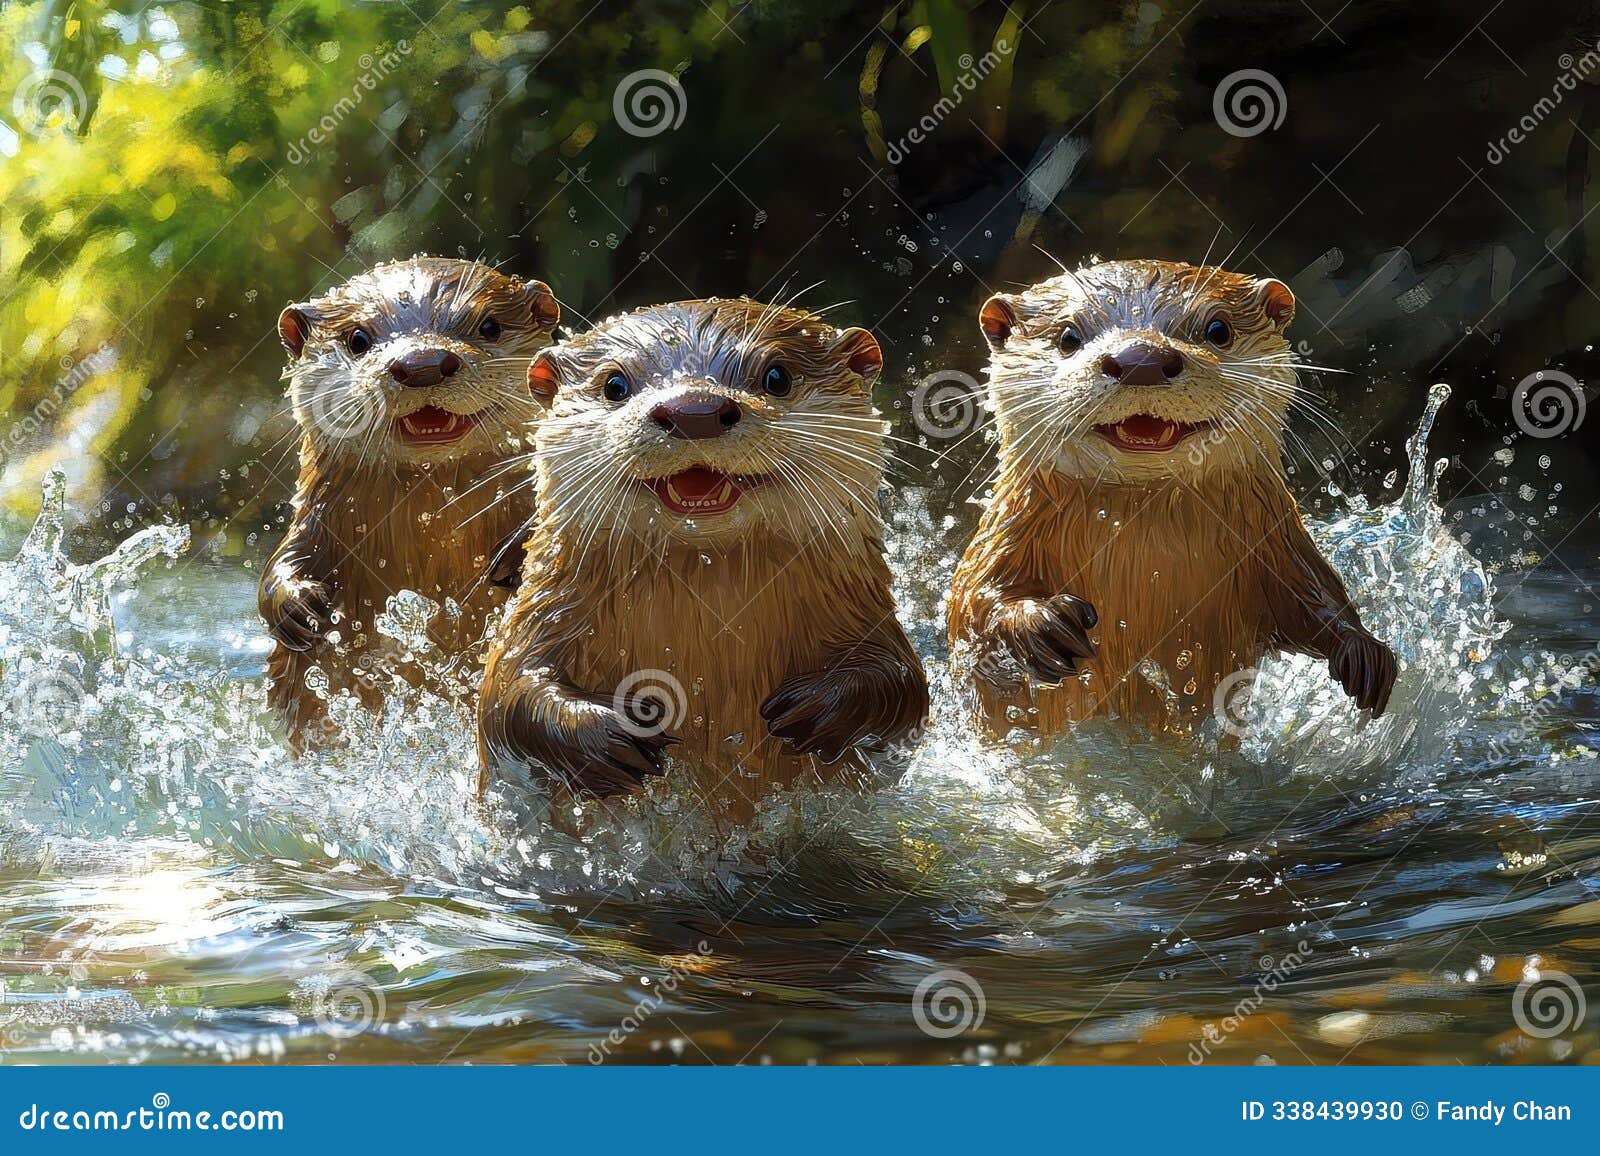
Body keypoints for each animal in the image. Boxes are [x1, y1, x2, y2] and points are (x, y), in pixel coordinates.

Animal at [261, 257, 559, 746]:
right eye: (357, 338)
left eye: (489, 326)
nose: (423, 363)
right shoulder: (318, 519)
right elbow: (286, 559)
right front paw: (298, 606)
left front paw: (517, 554)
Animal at [477, 298, 928, 816]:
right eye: (614, 385)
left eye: (777, 377)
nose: (695, 410)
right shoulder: (541, 615)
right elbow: (506, 693)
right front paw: (611, 734)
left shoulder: (871, 616)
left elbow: (903, 684)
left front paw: (817, 708)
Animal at [948, 258, 1396, 738]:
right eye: (1068, 336)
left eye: (1217, 329)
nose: (1140, 358)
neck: (1144, 564)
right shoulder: (997, 546)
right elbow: (973, 608)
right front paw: (1043, 624)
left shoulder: (1279, 548)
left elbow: (1313, 599)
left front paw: (1361, 651)